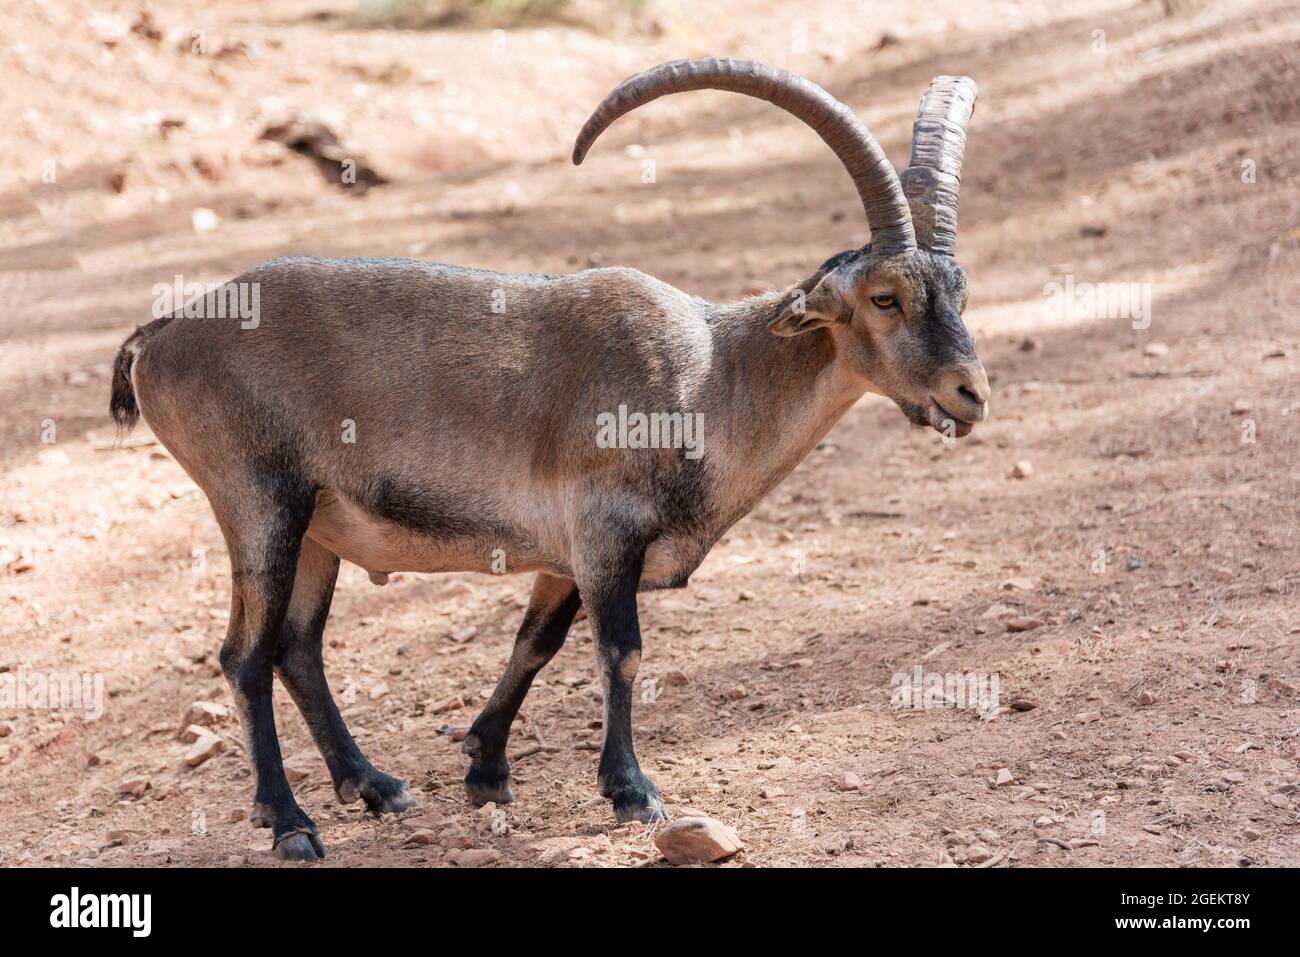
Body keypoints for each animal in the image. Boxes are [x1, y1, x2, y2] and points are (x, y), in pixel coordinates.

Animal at [110, 59, 988, 860]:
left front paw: (485, 767)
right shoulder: (605, 536)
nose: (970, 393)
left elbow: (535, 643)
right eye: (884, 298)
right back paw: (290, 821)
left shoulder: (566, 556)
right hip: (259, 502)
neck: (711, 376)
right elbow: (621, 653)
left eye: (960, 292)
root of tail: (163, 334)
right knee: (245, 655)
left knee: (297, 646)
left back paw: (375, 785)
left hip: (318, 529)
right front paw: (632, 790)